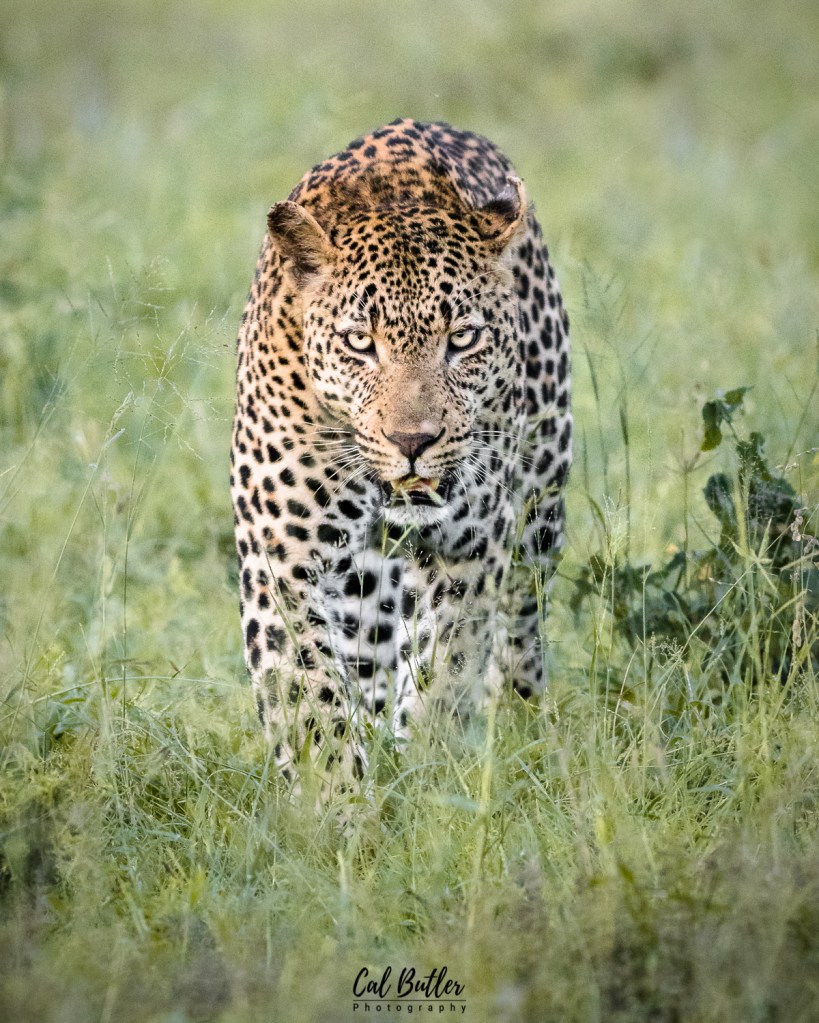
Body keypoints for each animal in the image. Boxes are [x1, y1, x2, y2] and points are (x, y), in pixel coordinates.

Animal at [230, 118, 571, 796]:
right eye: (361, 343)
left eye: (461, 338)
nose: (413, 441)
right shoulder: (282, 562)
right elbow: (310, 697)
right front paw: (338, 802)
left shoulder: (470, 549)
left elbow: (447, 668)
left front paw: (430, 774)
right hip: (362, 588)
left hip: (541, 503)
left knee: (521, 627)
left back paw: (521, 718)